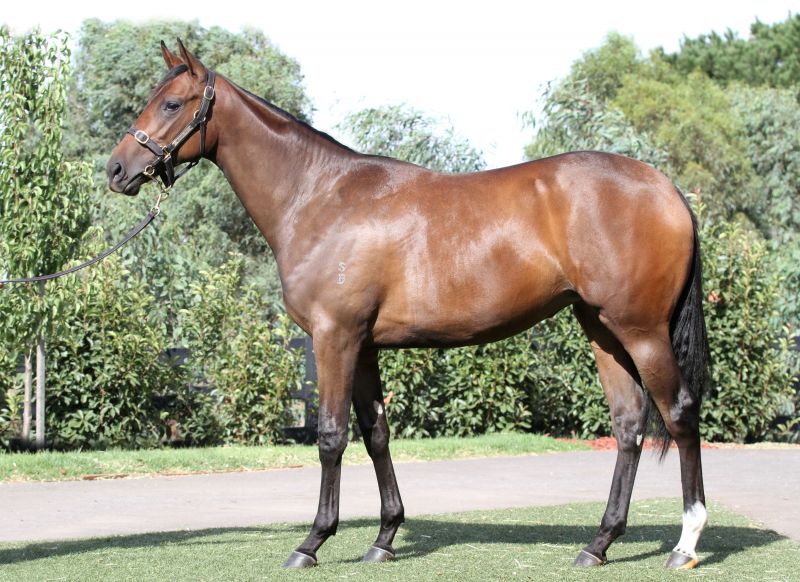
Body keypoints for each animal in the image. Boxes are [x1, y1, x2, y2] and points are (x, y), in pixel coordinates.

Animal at [107, 40, 709, 570]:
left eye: (171, 103)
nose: (116, 170)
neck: (319, 196)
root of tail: (668, 191)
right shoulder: (364, 346)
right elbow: (376, 435)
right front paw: (384, 538)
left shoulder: (334, 337)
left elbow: (331, 436)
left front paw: (311, 543)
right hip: (602, 328)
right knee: (629, 424)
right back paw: (598, 544)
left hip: (641, 330)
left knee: (679, 413)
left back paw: (685, 544)